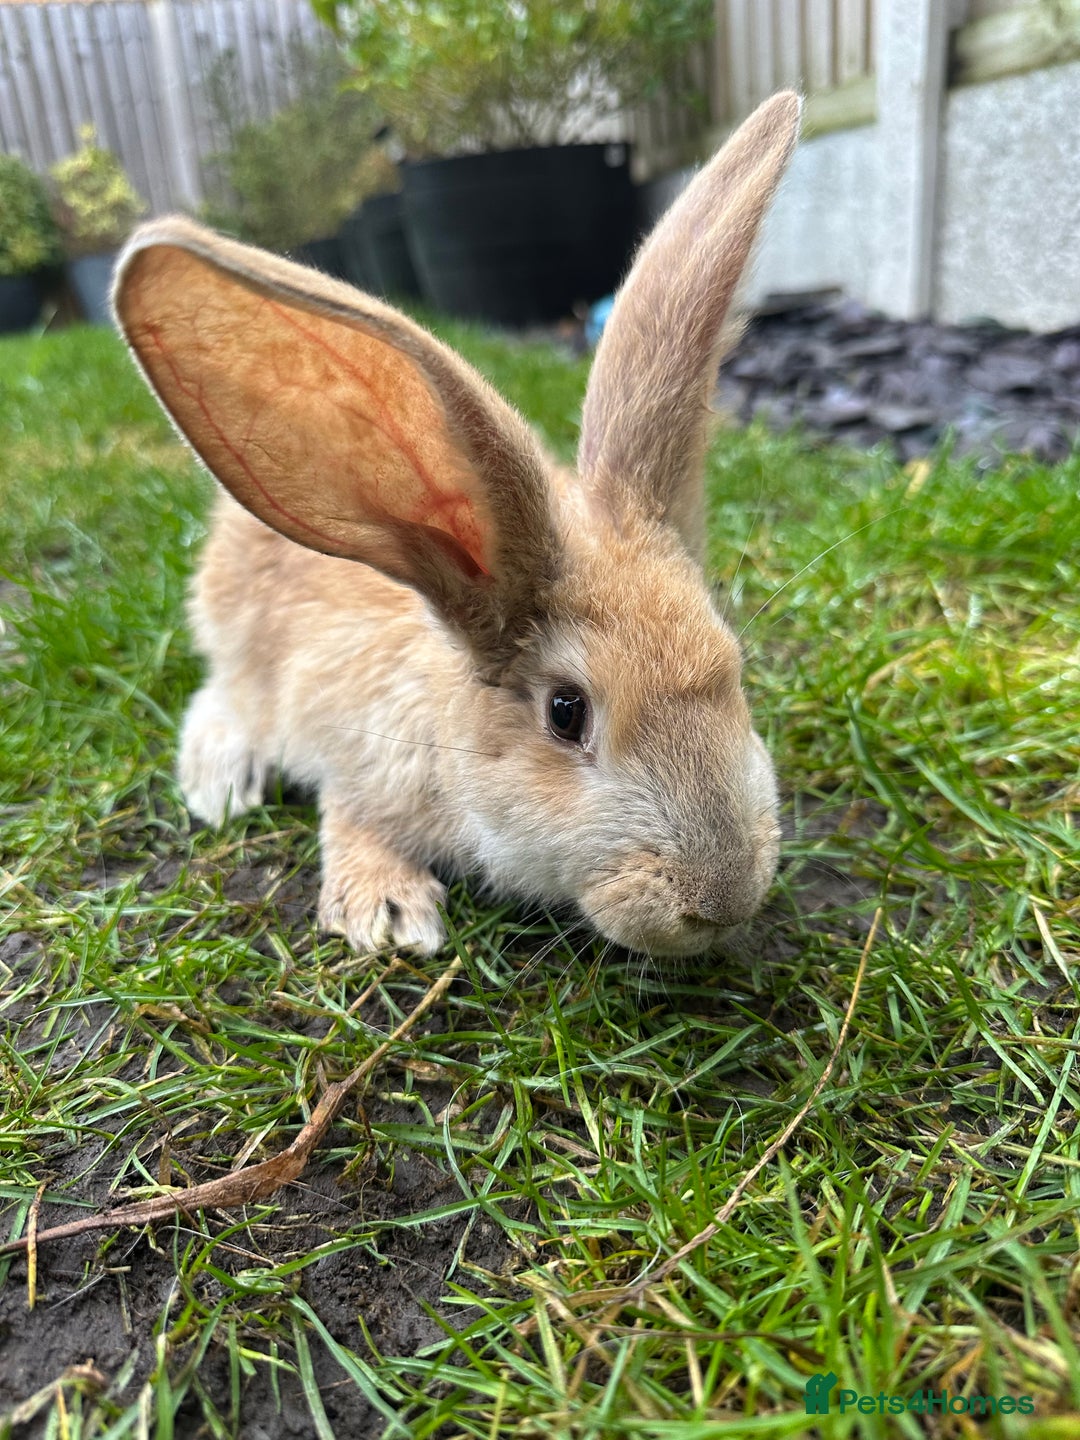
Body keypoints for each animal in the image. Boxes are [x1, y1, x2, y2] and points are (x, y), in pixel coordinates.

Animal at [112, 91, 801, 960]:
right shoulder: (353, 757)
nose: (724, 898)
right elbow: (349, 814)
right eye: (566, 712)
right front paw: (389, 913)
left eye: (734, 664)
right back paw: (222, 778)